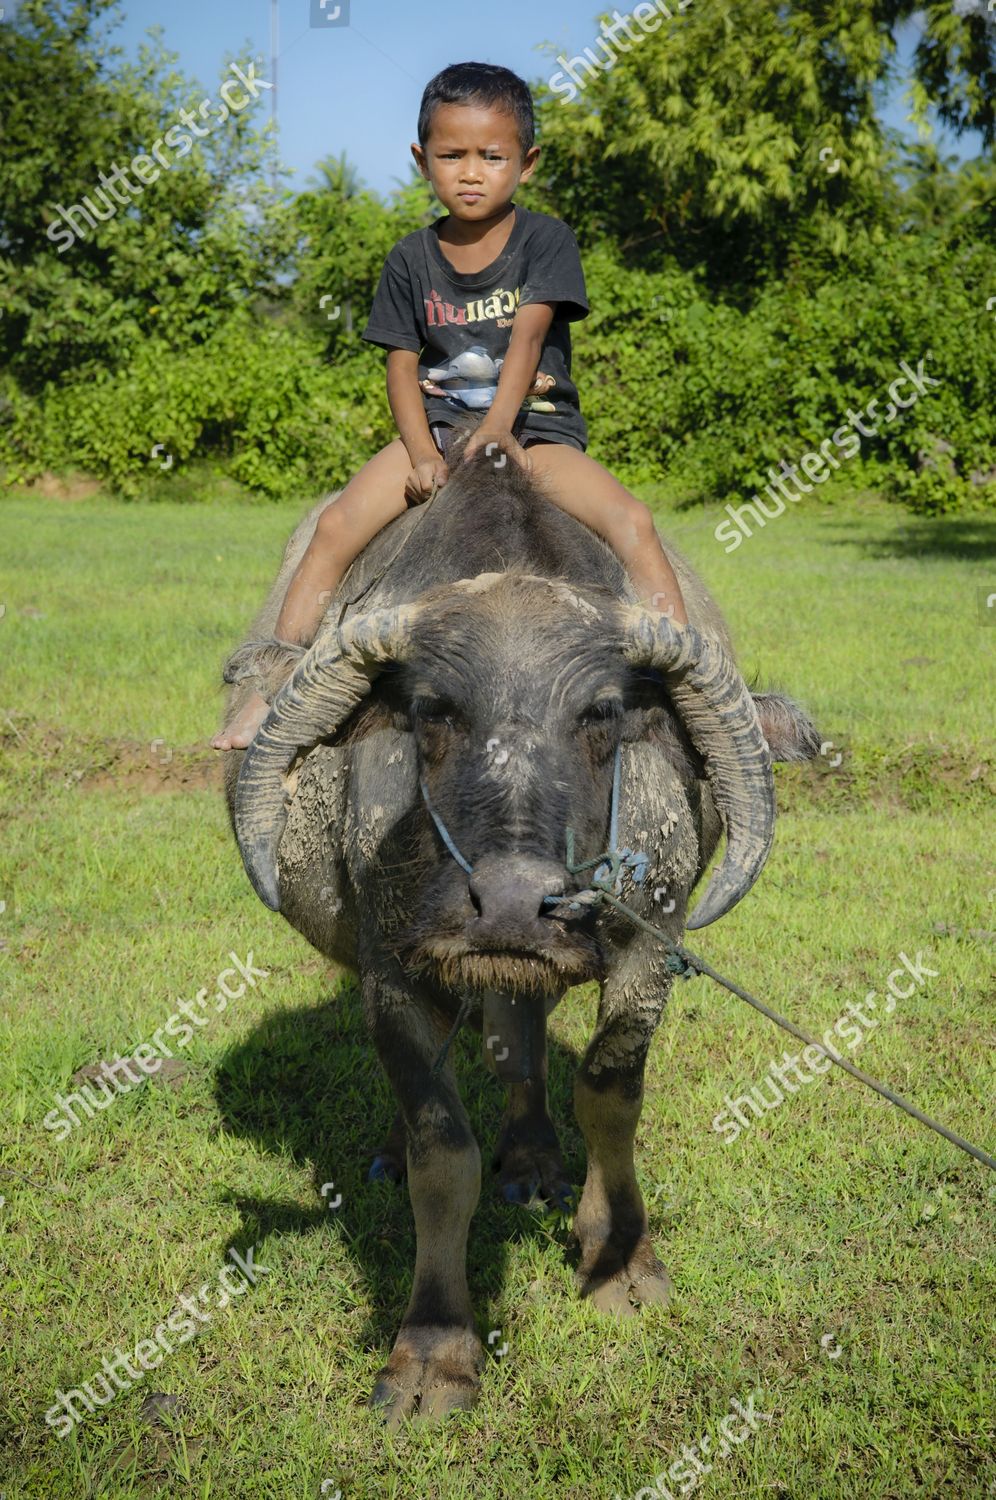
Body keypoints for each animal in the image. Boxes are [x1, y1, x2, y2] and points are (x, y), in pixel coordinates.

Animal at [220, 439, 819, 1426]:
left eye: (602, 713)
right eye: (432, 709)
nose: (507, 904)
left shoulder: (650, 945)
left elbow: (609, 1094)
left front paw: (620, 1260)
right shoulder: (392, 968)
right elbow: (442, 1151)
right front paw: (433, 1350)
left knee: (521, 1028)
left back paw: (535, 1158)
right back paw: (399, 1152)